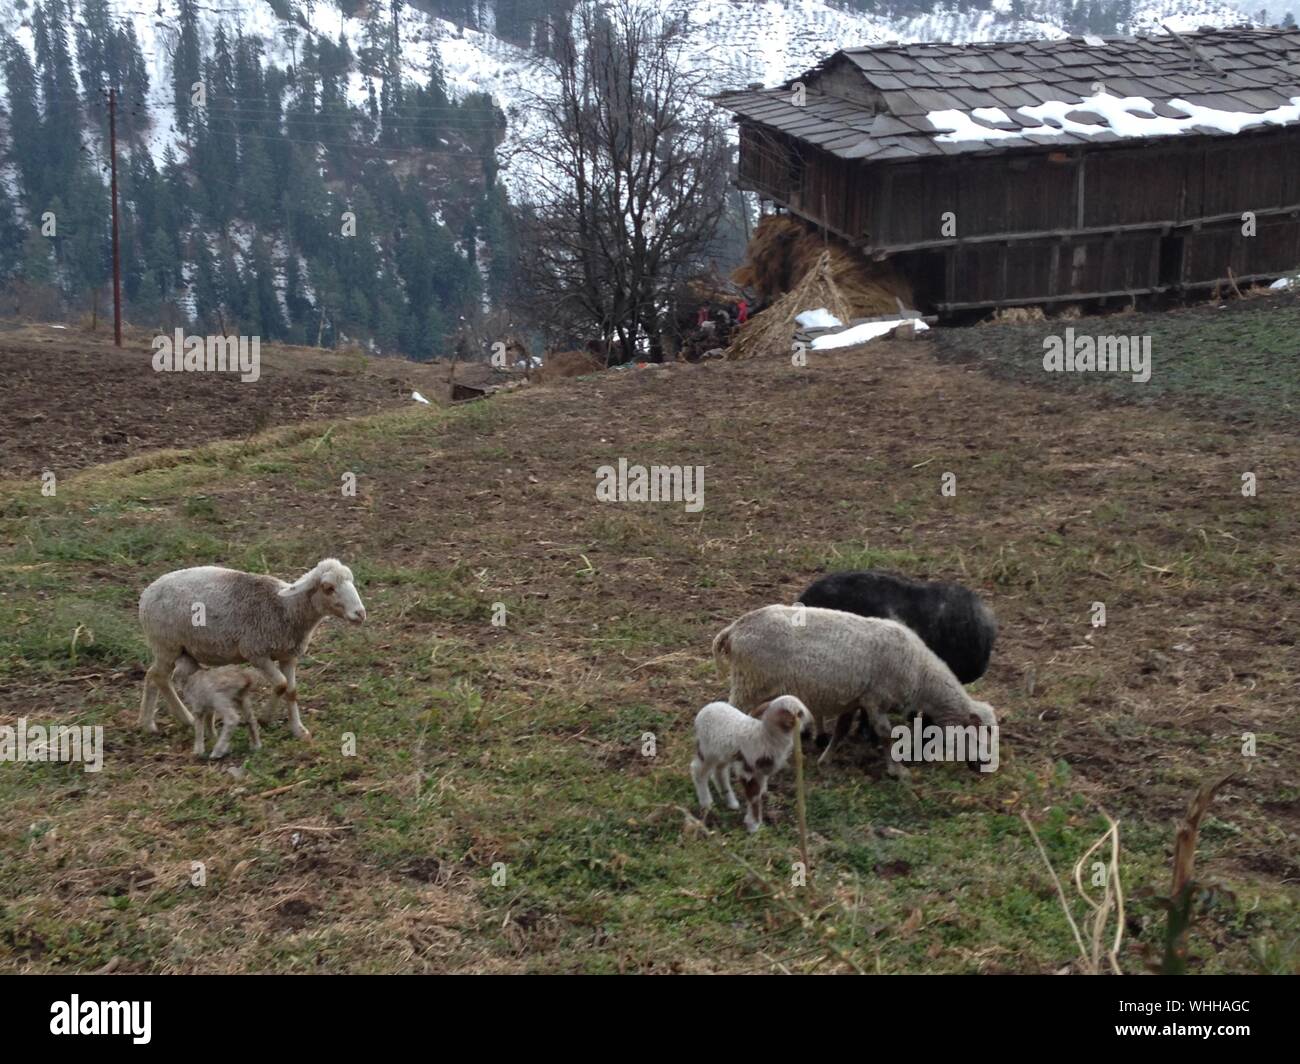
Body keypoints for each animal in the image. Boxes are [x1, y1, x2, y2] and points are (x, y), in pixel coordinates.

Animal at [138, 558, 366, 745]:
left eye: (351, 581)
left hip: (175, 649)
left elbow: (291, 691)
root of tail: (146, 594)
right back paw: (185, 718)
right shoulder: (256, 652)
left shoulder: (289, 655)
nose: (360, 613)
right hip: (167, 644)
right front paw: (265, 718)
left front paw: (299, 731)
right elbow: (281, 684)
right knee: (159, 677)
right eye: (328, 588)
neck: (286, 609)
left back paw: (148, 724)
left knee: (152, 675)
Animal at [691, 695, 814, 832]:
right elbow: (753, 796)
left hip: (723, 752)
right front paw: (753, 824)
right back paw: (706, 802)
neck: (765, 736)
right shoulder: (747, 769)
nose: (808, 726)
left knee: (719, 772)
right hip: (706, 750)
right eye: (799, 713)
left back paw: (731, 802)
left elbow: (759, 792)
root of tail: (708, 707)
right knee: (698, 771)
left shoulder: (761, 770)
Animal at [713, 605, 997, 778]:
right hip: (749, 682)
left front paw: (825, 759)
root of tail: (735, 628)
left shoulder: (855, 700)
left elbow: (841, 730)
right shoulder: (875, 700)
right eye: (979, 735)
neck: (921, 673)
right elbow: (886, 734)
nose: (985, 768)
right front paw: (897, 771)